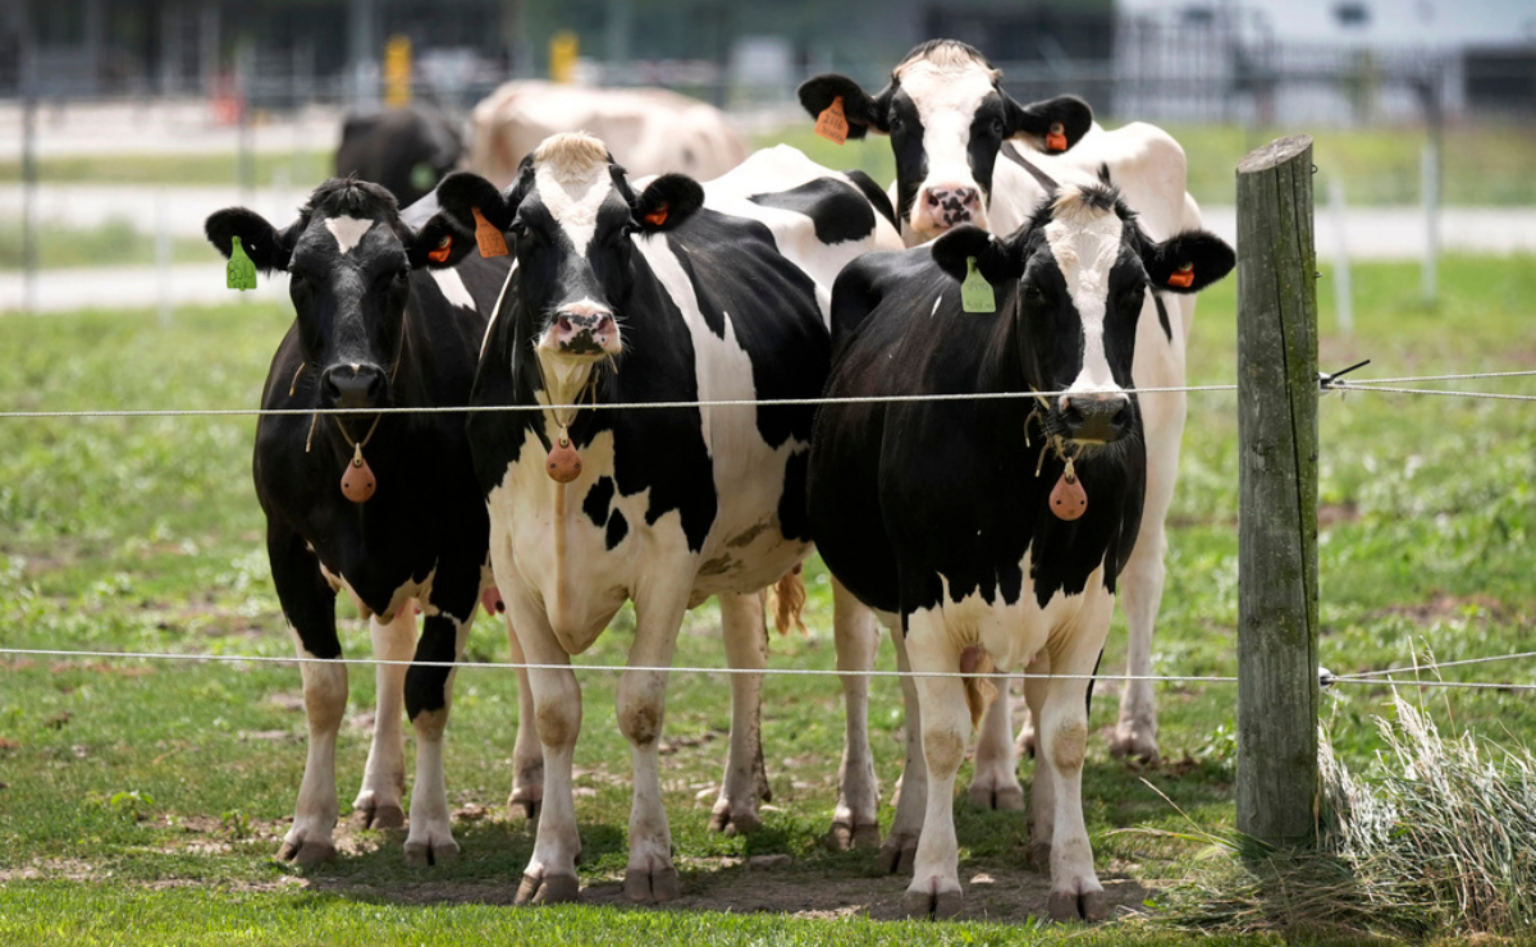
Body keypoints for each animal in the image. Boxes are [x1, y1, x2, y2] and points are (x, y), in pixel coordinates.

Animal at [203, 176, 541, 867]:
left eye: (398, 274)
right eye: (300, 274)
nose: (354, 381)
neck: (361, 449)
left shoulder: (461, 552)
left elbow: (429, 691)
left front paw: (432, 828)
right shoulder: (287, 549)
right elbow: (327, 690)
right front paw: (310, 826)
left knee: (521, 652)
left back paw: (529, 784)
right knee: (392, 655)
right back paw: (381, 793)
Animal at [420, 131, 900, 904]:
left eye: (622, 228)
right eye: (524, 228)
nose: (583, 322)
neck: (571, 420)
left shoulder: (670, 558)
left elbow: (640, 706)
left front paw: (649, 857)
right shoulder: (515, 562)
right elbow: (556, 709)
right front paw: (550, 861)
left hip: (843, 521)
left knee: (855, 656)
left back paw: (854, 811)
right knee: (745, 653)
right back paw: (739, 797)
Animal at [799, 41, 1205, 820]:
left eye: (990, 124)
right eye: (900, 119)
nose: (950, 198)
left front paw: (993, 775)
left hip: (1166, 438)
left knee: (1144, 573)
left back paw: (1134, 726)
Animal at [807, 172, 1234, 920]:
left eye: (1134, 290)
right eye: (1034, 290)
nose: (1095, 410)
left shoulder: (1090, 597)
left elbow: (1065, 733)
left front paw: (1075, 871)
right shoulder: (924, 595)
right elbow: (942, 734)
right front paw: (934, 874)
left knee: (1027, 697)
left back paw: (1038, 831)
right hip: (887, 593)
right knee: (912, 703)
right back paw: (906, 832)